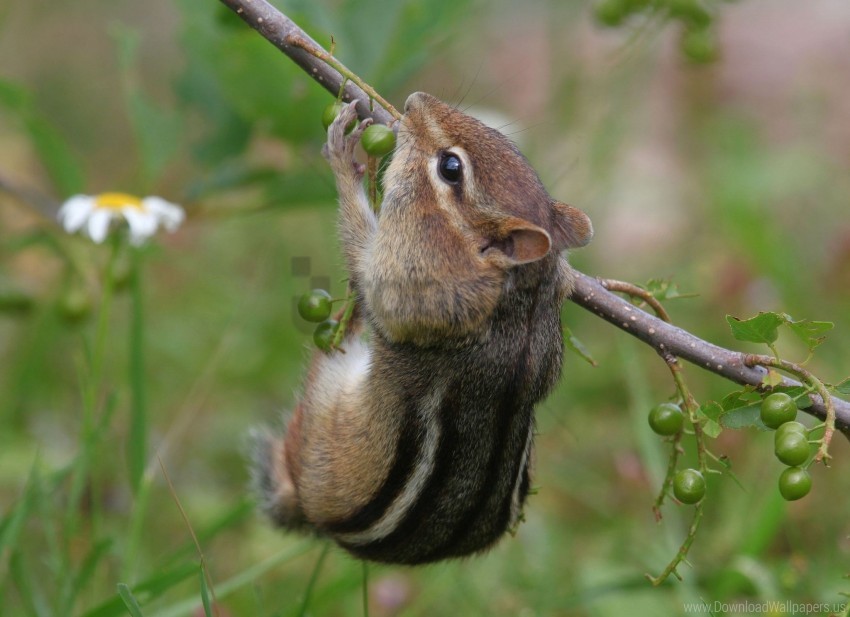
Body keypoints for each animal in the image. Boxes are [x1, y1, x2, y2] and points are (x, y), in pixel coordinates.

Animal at [253, 92, 593, 565]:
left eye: (451, 168)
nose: (416, 101)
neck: (521, 294)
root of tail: (312, 515)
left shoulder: (412, 282)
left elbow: (367, 267)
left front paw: (343, 159)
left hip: (324, 416)